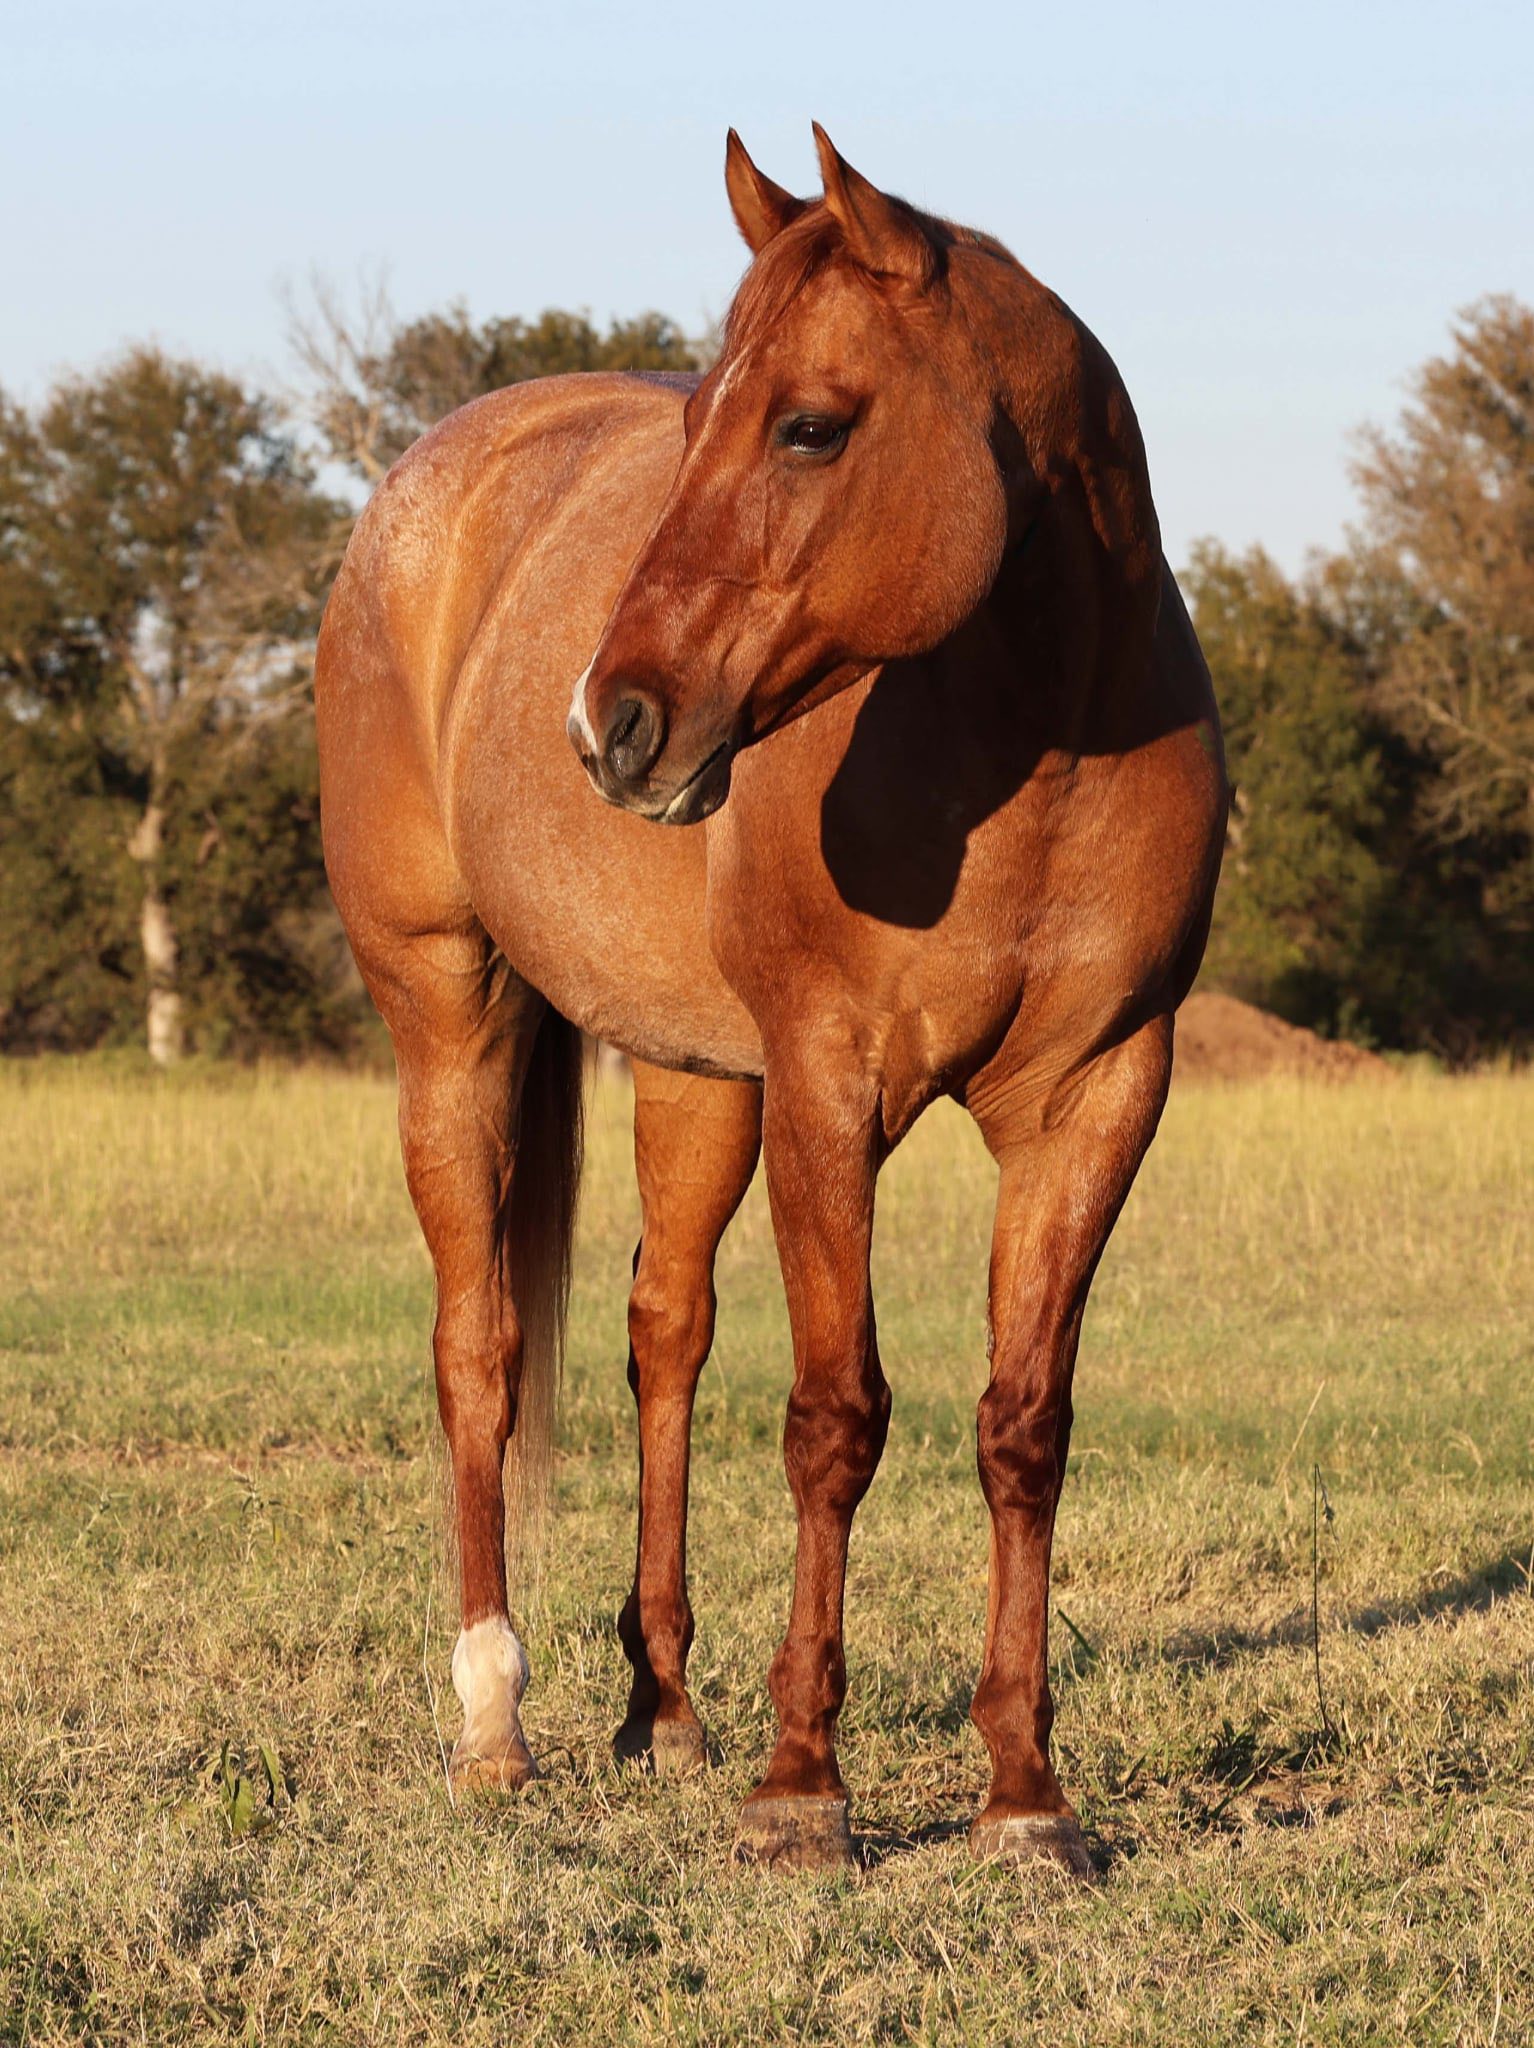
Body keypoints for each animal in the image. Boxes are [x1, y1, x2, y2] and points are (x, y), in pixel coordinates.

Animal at [315, 123, 1226, 1875]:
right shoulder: (828, 1084)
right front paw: (805, 1790)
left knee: (661, 1334)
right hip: (449, 1013)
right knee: (479, 1347)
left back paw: (662, 1709)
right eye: (695, 422)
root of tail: (425, 488)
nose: (608, 725)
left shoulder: (1097, 1099)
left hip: (695, 1076)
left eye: (808, 424)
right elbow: (834, 1417)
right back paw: (493, 1726)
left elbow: (1024, 1425)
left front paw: (1026, 1798)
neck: (1039, 738)